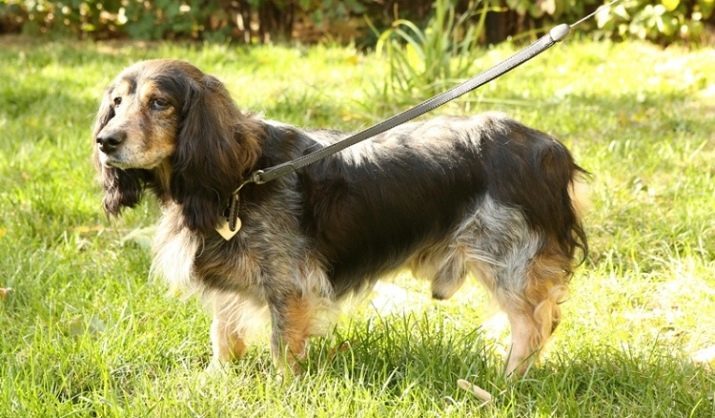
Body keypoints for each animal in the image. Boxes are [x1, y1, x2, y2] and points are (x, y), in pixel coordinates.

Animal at [93, 59, 588, 376]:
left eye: (160, 103)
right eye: (116, 102)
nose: (105, 141)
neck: (240, 175)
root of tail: (548, 148)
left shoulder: (288, 286)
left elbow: (282, 349)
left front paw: (281, 391)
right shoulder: (231, 284)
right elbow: (224, 335)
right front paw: (215, 380)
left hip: (508, 263)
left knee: (535, 326)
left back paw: (507, 383)